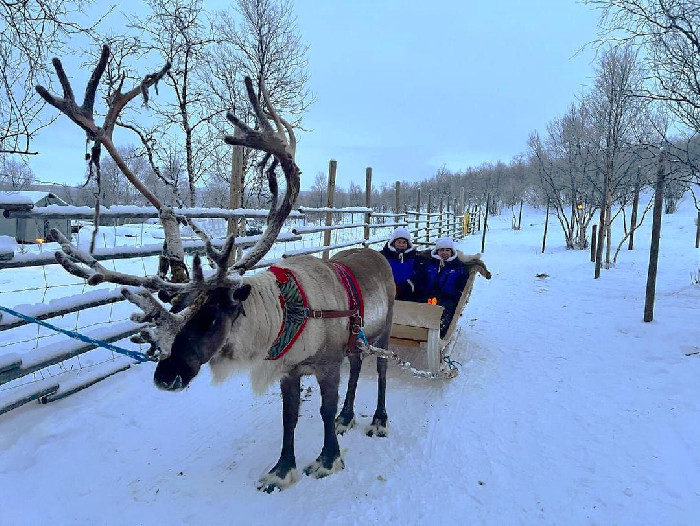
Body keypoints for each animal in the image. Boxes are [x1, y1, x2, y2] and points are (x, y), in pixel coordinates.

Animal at [38, 45, 396, 492]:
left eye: (211, 319)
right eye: (169, 320)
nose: (165, 377)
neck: (289, 314)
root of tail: (380, 254)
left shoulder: (327, 364)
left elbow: (323, 412)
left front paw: (328, 459)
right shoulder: (288, 371)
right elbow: (289, 419)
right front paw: (282, 469)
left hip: (383, 327)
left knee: (380, 367)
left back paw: (378, 420)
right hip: (359, 339)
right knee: (360, 366)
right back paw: (352, 416)